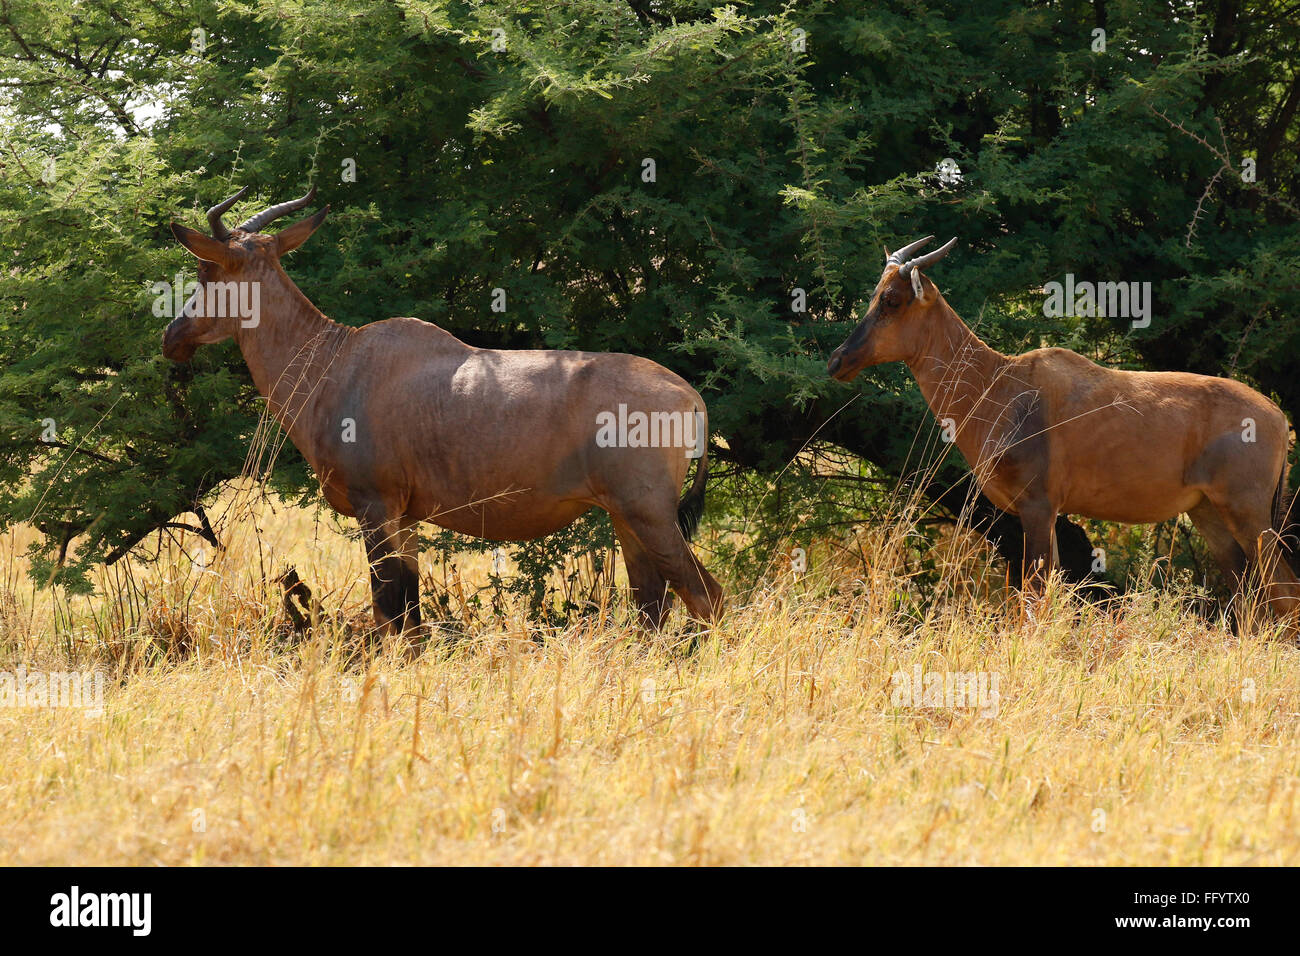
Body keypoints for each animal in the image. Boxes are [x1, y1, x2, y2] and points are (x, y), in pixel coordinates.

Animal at [163, 186, 723, 636]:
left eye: (207, 269)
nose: (173, 338)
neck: (339, 359)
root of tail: (688, 395)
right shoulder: (407, 518)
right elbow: (410, 619)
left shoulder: (376, 507)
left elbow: (389, 612)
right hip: (626, 518)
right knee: (652, 606)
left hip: (649, 513)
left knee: (706, 596)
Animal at [827, 235, 1300, 631]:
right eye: (875, 294)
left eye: (892, 299)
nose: (837, 361)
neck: (1000, 381)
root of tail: (1278, 418)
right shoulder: (1039, 514)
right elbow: (1036, 593)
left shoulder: (1038, 507)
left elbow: (1035, 597)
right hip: (1208, 514)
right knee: (1250, 596)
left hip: (1248, 515)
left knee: (1283, 591)